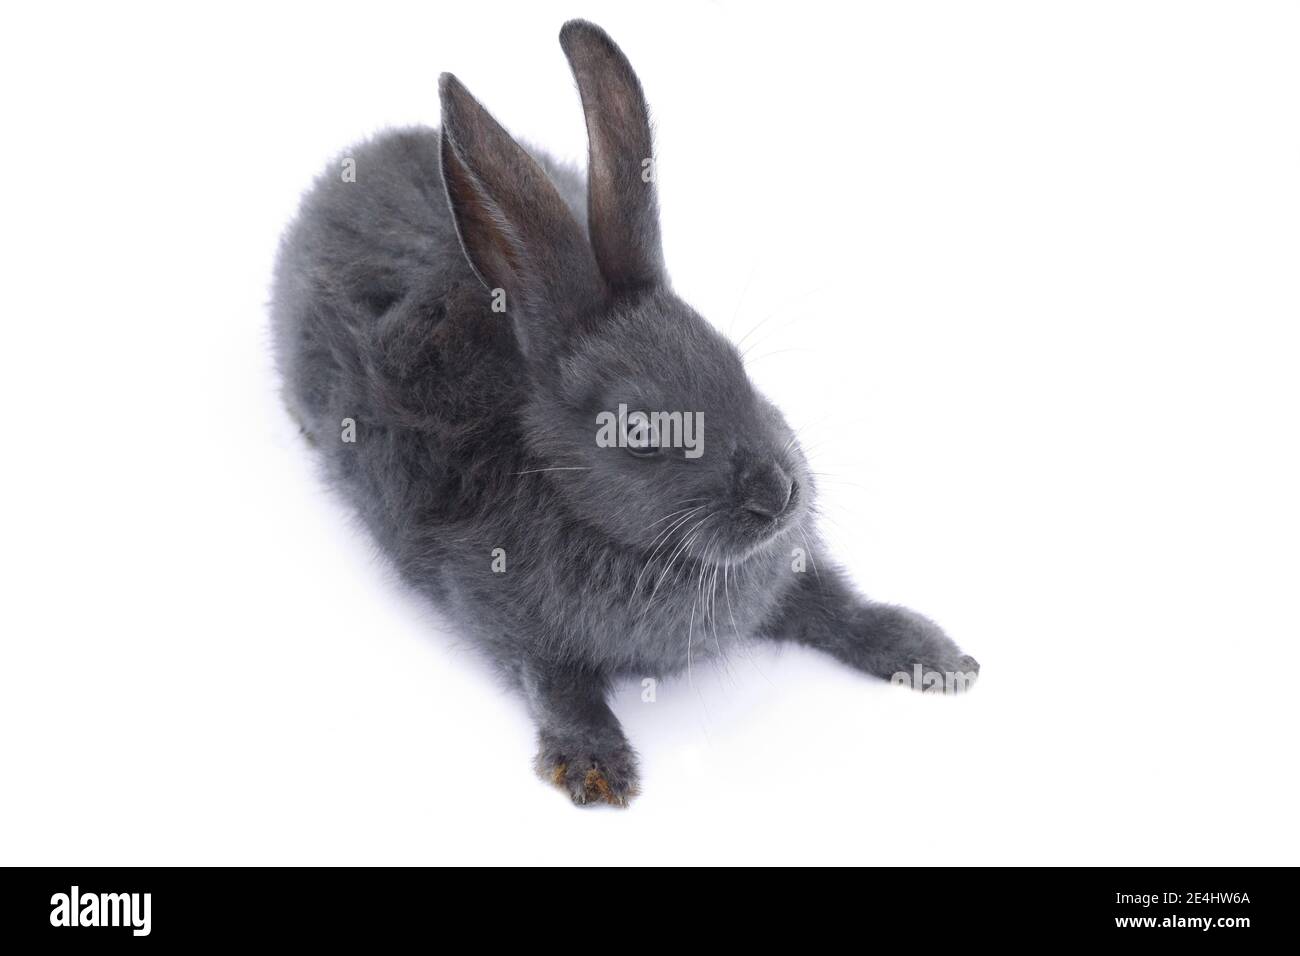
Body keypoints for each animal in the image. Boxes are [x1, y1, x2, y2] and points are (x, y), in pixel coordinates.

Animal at [270, 19, 979, 807]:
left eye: (737, 363)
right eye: (638, 429)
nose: (778, 495)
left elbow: (841, 606)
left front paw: (934, 657)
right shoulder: (504, 616)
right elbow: (556, 684)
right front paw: (597, 768)